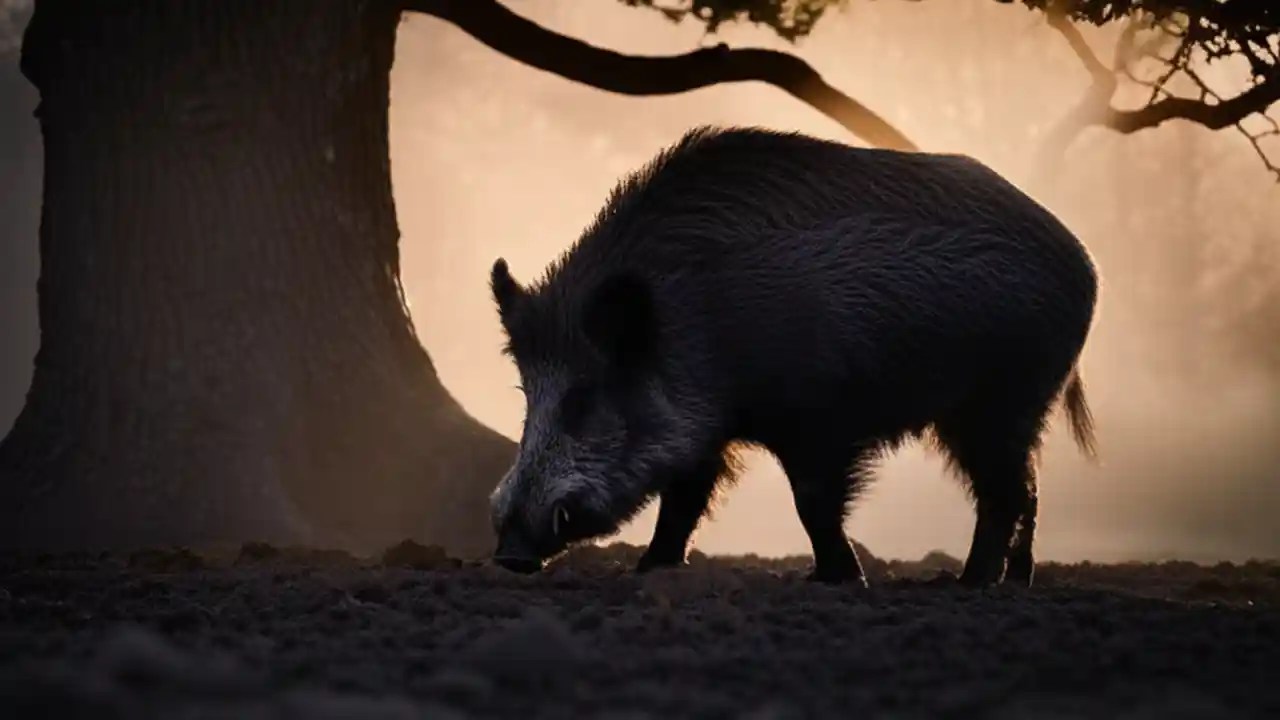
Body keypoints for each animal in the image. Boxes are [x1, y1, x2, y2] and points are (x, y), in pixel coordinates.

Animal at [487, 125, 1098, 588]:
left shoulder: (818, 417)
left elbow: (810, 501)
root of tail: (1082, 261)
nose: (510, 555)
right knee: (1029, 488)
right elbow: (684, 498)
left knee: (1004, 493)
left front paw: (839, 578)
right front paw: (650, 568)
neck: (698, 324)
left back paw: (968, 583)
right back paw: (1015, 581)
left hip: (1002, 397)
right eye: (526, 398)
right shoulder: (709, 431)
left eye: (583, 398)